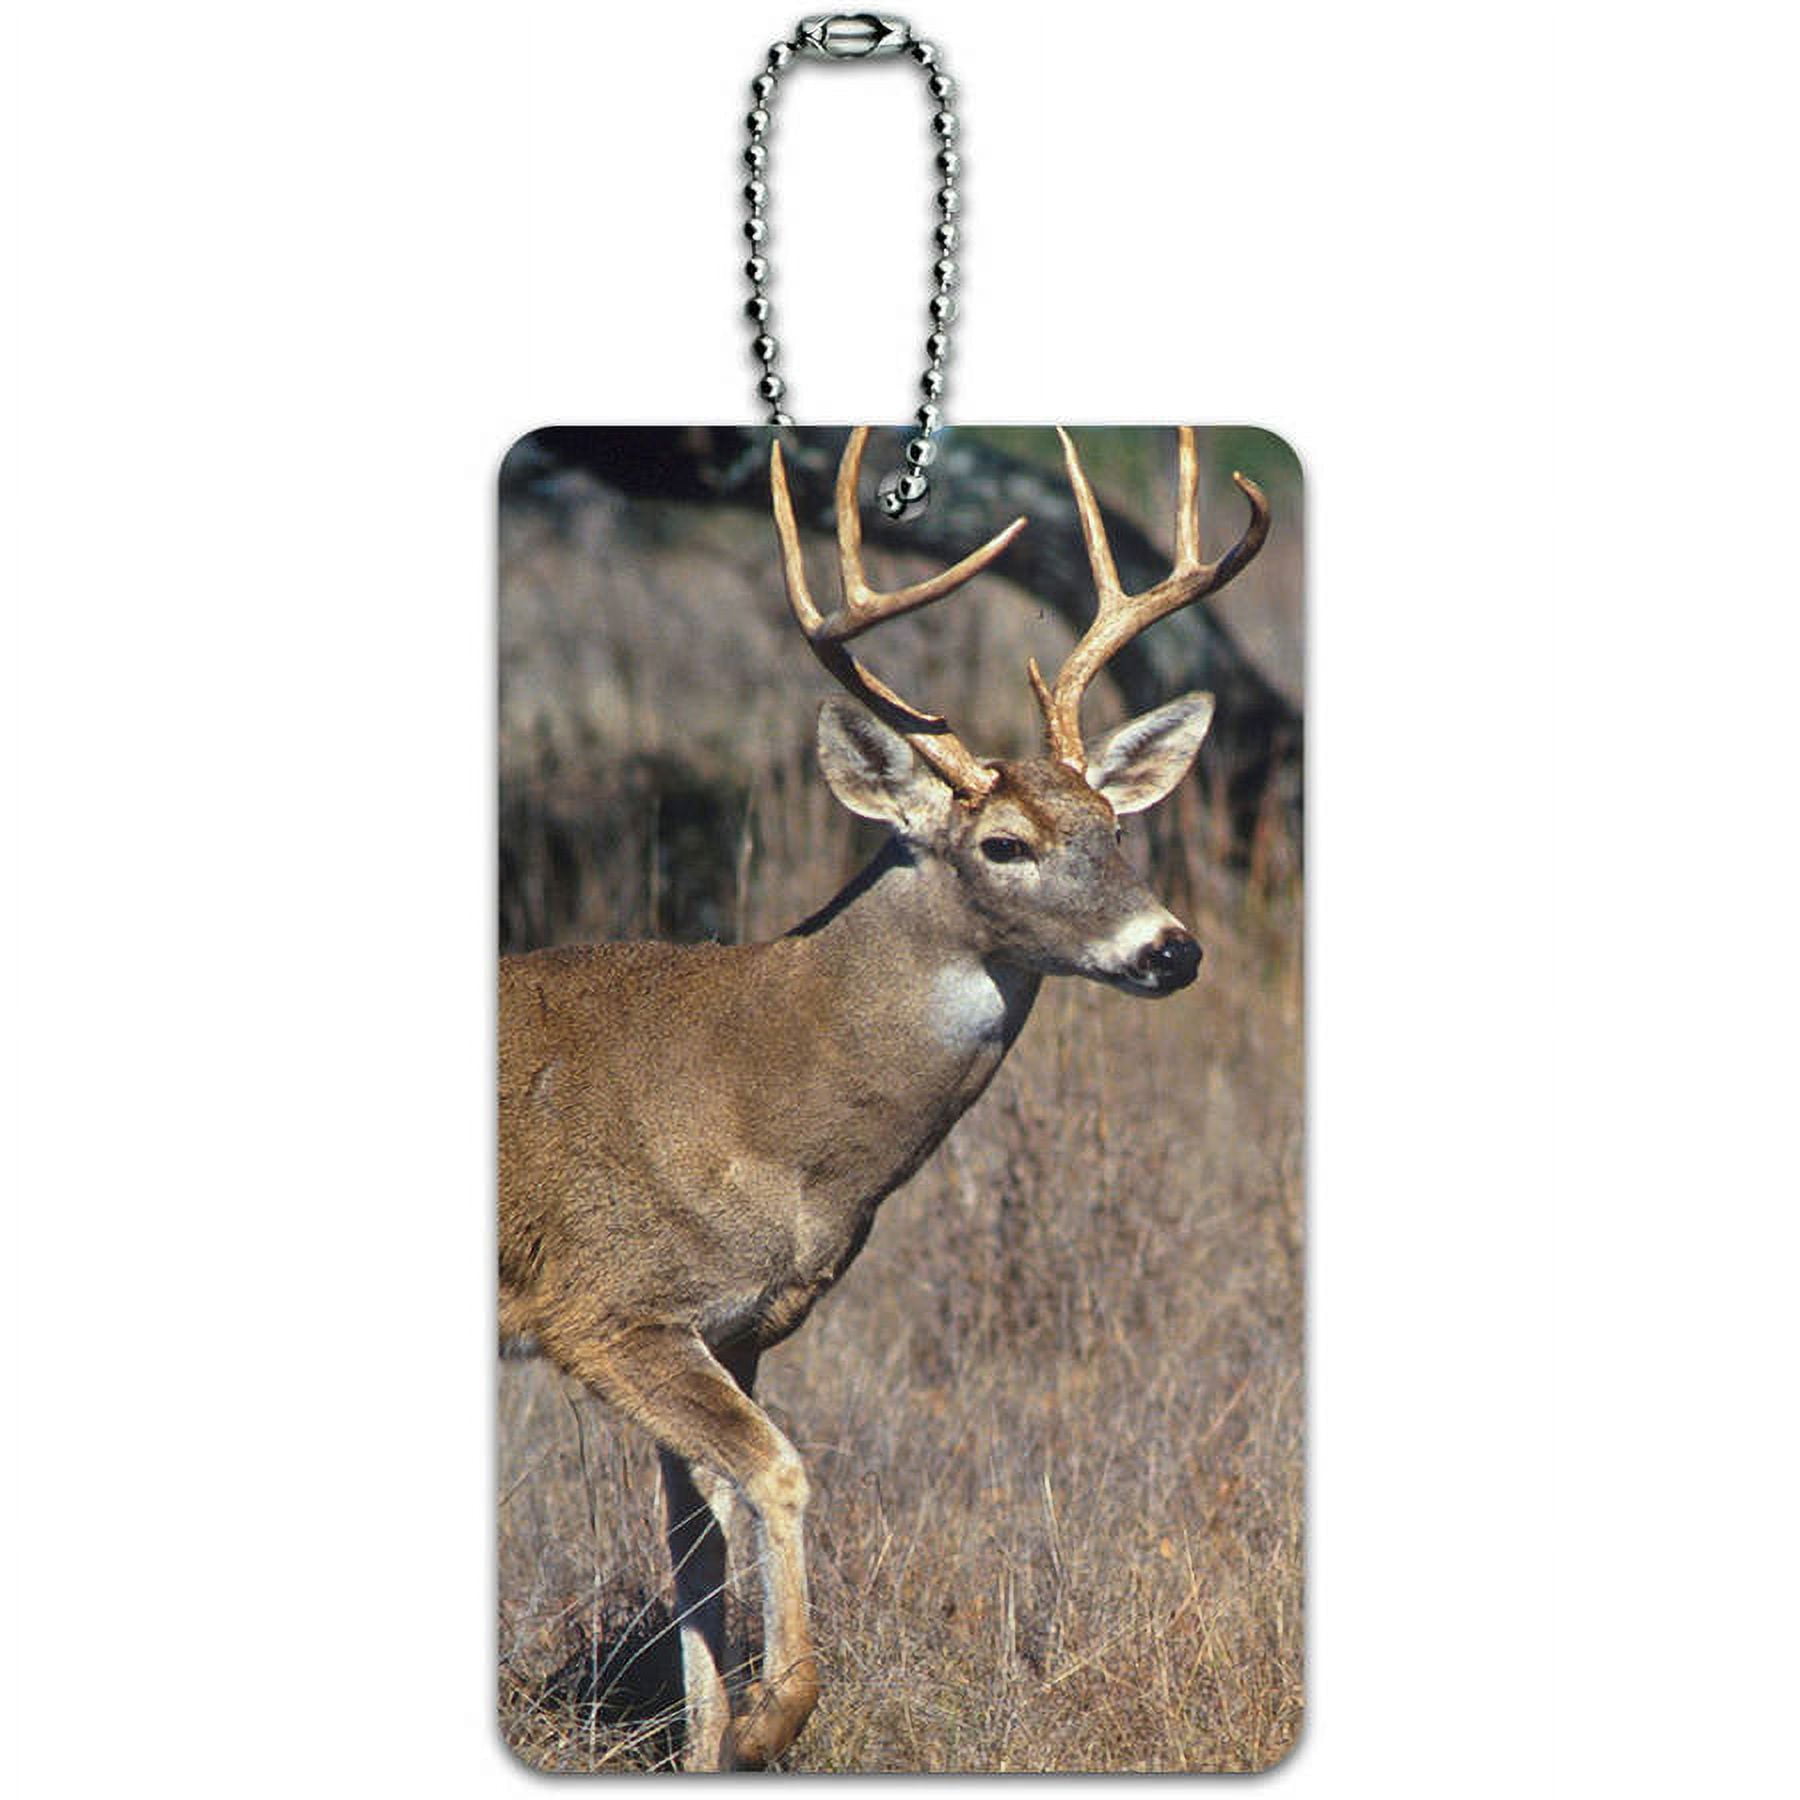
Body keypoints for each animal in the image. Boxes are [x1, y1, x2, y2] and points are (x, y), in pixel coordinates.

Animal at [499, 425, 1269, 1770]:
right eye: (1004, 844)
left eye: (1116, 828)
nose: (1172, 949)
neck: (764, 1105)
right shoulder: (602, 1303)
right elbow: (779, 1476)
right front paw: (775, 1716)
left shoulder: (736, 1326)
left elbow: (698, 1538)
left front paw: (716, 1739)